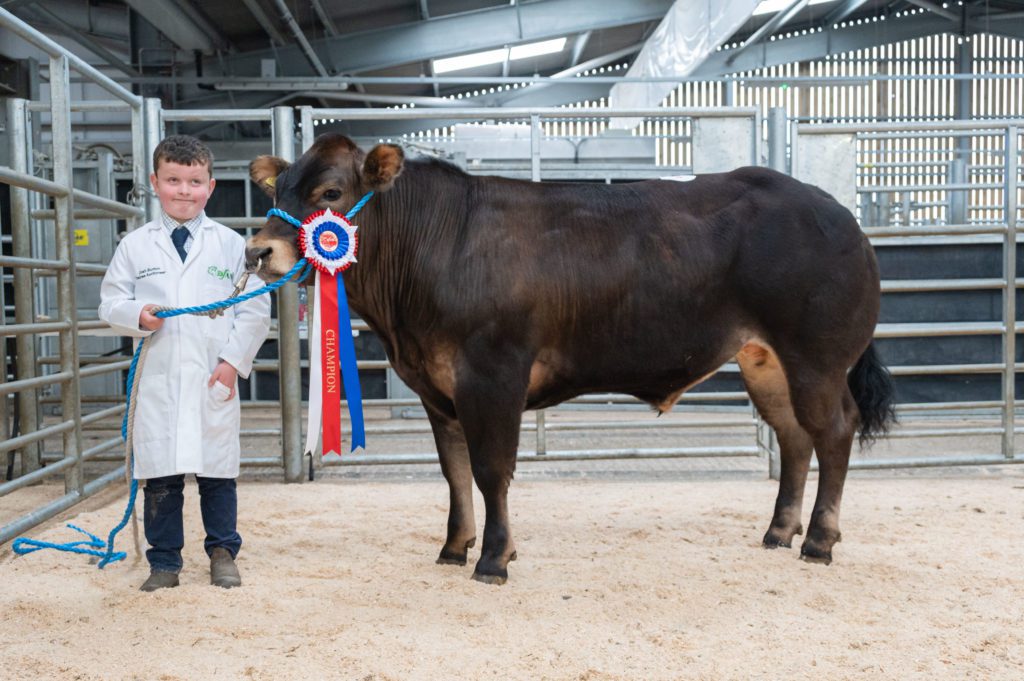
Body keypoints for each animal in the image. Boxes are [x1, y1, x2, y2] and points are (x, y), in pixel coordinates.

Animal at [245, 133, 896, 585]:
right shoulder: (437, 386)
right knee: (794, 437)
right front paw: (454, 548)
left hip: (815, 358)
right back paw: (779, 531)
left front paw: (494, 558)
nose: (257, 251)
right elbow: (454, 472)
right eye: (277, 192)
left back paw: (818, 541)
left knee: (835, 431)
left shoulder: (492, 374)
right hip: (766, 363)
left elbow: (490, 470)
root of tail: (841, 216)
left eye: (330, 194)